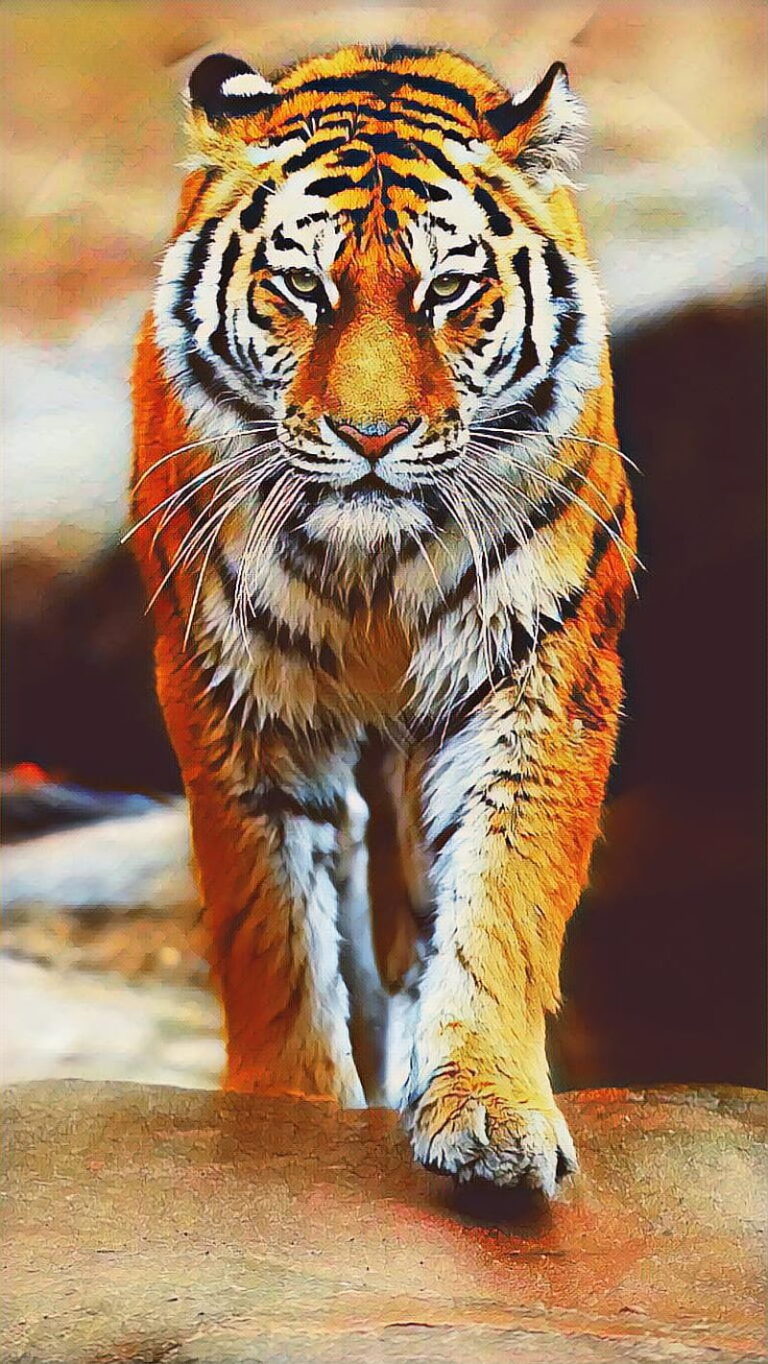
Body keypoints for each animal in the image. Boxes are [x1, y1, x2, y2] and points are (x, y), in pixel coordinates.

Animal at [130, 43, 636, 1195]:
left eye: (446, 289)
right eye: (301, 287)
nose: (371, 436)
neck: (373, 565)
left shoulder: (537, 673)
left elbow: (499, 893)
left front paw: (489, 1112)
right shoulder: (234, 691)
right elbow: (272, 924)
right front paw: (288, 1109)